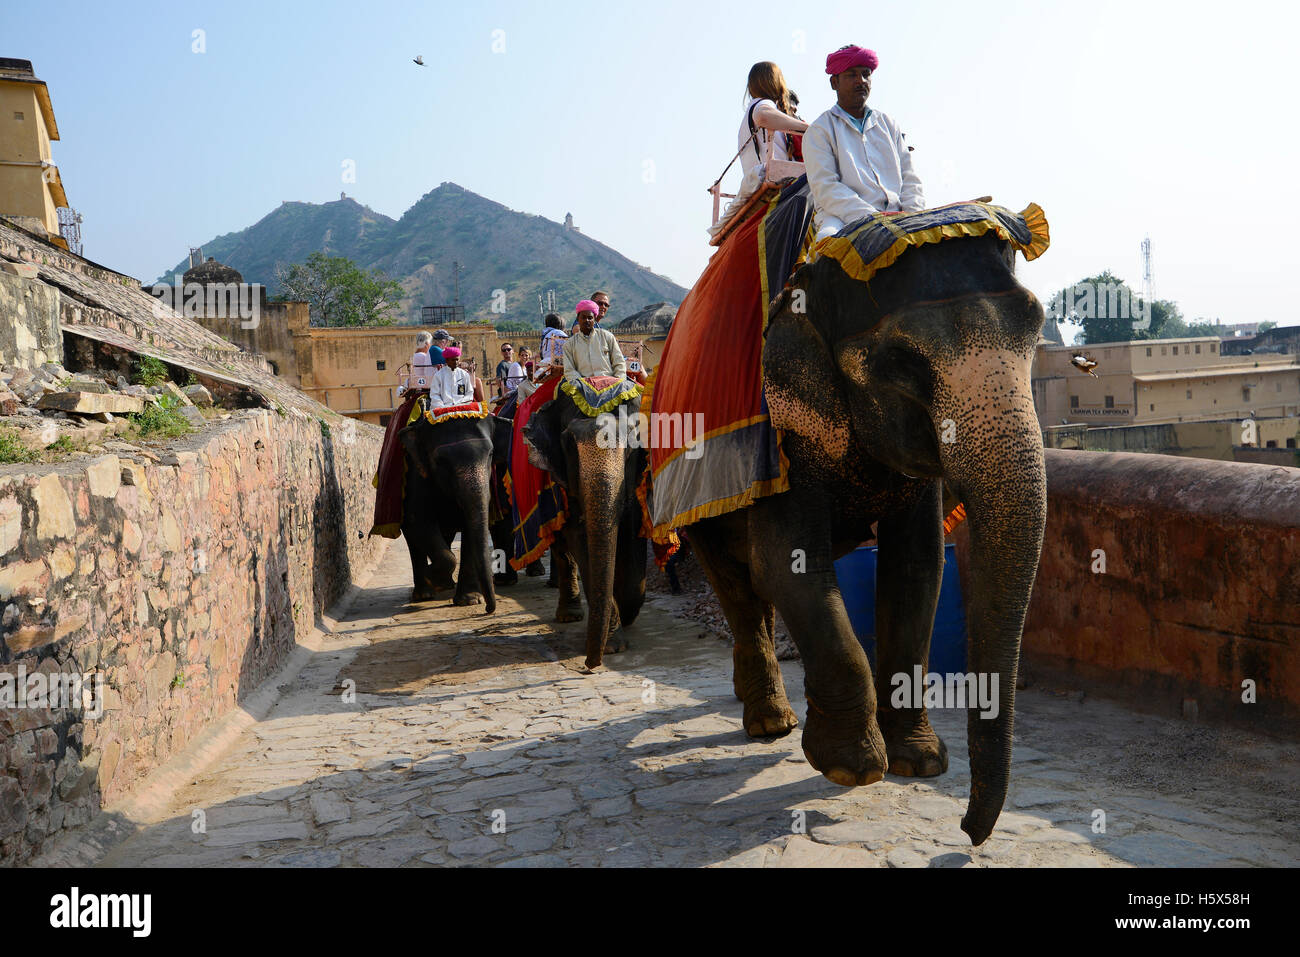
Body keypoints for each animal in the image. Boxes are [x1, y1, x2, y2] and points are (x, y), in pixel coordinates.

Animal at [398, 409, 513, 612]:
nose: (488, 609)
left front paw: (470, 600)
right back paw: (424, 594)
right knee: (413, 541)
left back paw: (446, 585)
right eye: (440, 461)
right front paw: (433, 577)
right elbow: (418, 522)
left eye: (491, 454)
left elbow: (470, 529)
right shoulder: (415, 475)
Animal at [524, 388, 649, 669]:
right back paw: (569, 616)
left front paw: (623, 609)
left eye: (631, 445)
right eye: (569, 445)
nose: (589, 666)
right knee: (562, 549)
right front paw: (613, 646)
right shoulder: (564, 478)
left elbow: (632, 536)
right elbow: (581, 540)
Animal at [683, 232, 1046, 845]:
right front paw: (850, 768)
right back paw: (769, 722)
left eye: (1036, 325)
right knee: (736, 582)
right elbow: (785, 565)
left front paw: (920, 763)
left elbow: (919, 566)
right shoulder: (782, 439)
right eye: (900, 363)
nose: (967, 832)